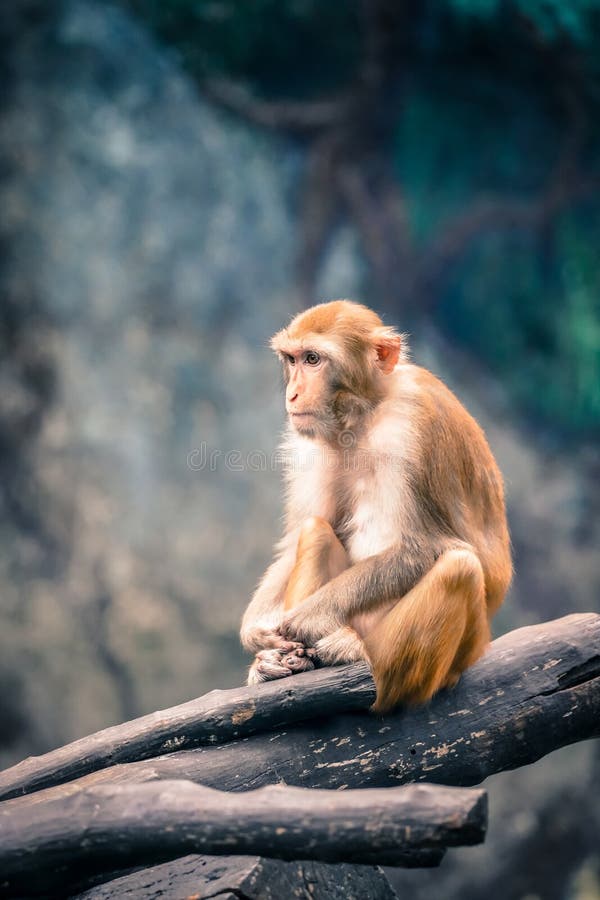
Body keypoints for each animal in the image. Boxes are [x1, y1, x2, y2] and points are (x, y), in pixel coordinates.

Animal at [240, 300, 512, 712]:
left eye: (313, 359)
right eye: (292, 360)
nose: (293, 394)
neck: (366, 412)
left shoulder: (414, 428)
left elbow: (424, 547)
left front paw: (309, 618)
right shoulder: (312, 448)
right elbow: (296, 540)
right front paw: (256, 633)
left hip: (435, 667)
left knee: (460, 568)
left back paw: (357, 655)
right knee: (316, 530)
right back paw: (288, 664)